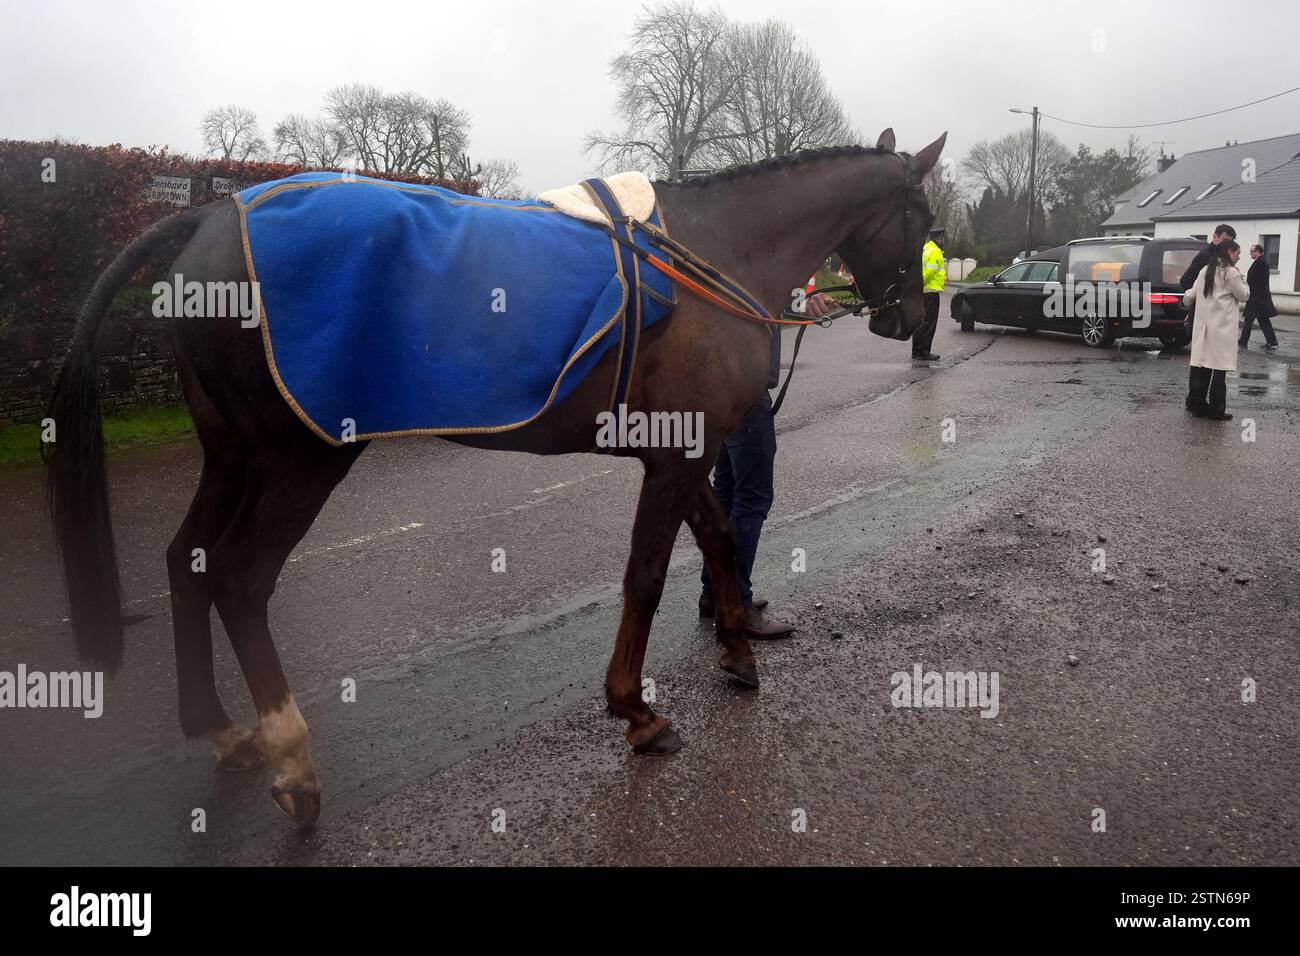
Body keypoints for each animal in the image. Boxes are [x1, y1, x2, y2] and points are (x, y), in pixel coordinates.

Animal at [46, 128, 946, 825]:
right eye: (925, 217)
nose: (906, 315)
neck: (716, 250)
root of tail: (210, 212)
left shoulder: (682, 452)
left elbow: (720, 538)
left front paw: (734, 646)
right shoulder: (676, 458)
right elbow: (647, 576)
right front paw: (636, 708)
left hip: (233, 455)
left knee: (187, 561)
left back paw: (217, 726)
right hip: (297, 461)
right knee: (236, 577)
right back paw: (292, 760)